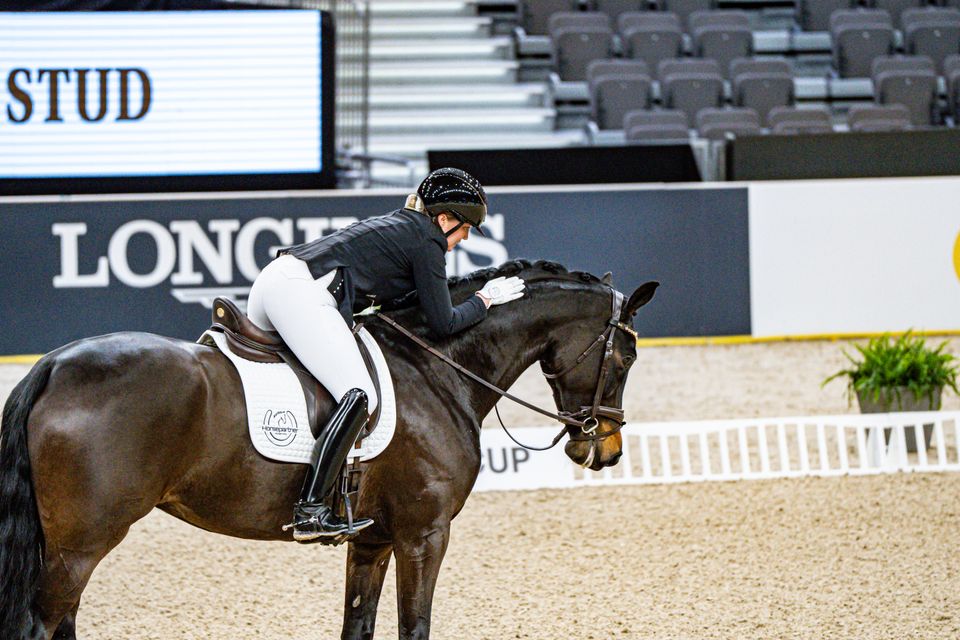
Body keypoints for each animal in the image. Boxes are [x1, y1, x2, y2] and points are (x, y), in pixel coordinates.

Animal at [0, 259, 658, 640]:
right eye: (626, 355)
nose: (605, 450)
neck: (437, 366)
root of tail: (55, 365)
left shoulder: (373, 539)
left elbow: (358, 626)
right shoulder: (425, 534)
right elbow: (414, 626)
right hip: (81, 545)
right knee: (43, 622)